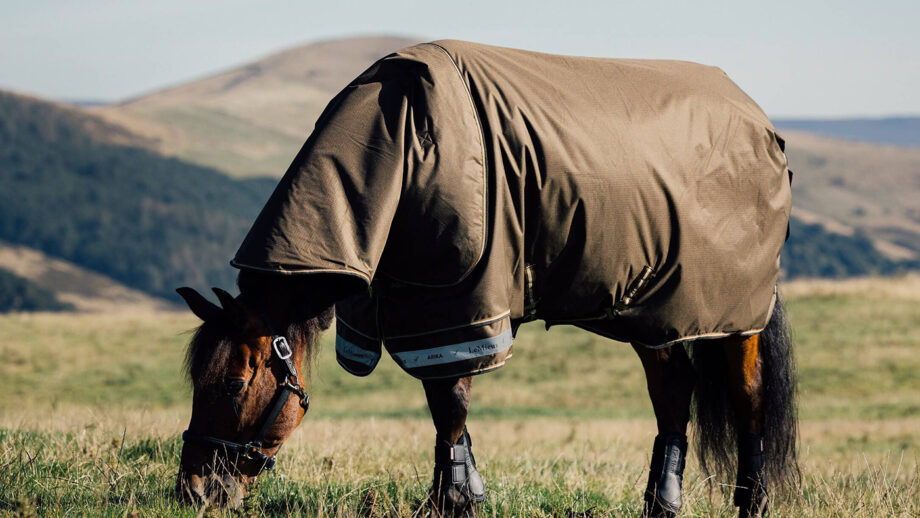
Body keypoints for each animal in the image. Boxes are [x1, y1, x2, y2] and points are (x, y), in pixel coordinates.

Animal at [174, 40, 798, 517]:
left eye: (234, 383)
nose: (194, 492)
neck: (402, 150)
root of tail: (760, 122)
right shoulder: (421, 307)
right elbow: (443, 406)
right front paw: (461, 495)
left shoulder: (462, 302)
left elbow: (451, 406)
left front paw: (447, 502)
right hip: (652, 307)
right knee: (673, 392)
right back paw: (661, 503)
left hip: (730, 315)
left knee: (746, 396)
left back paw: (752, 501)